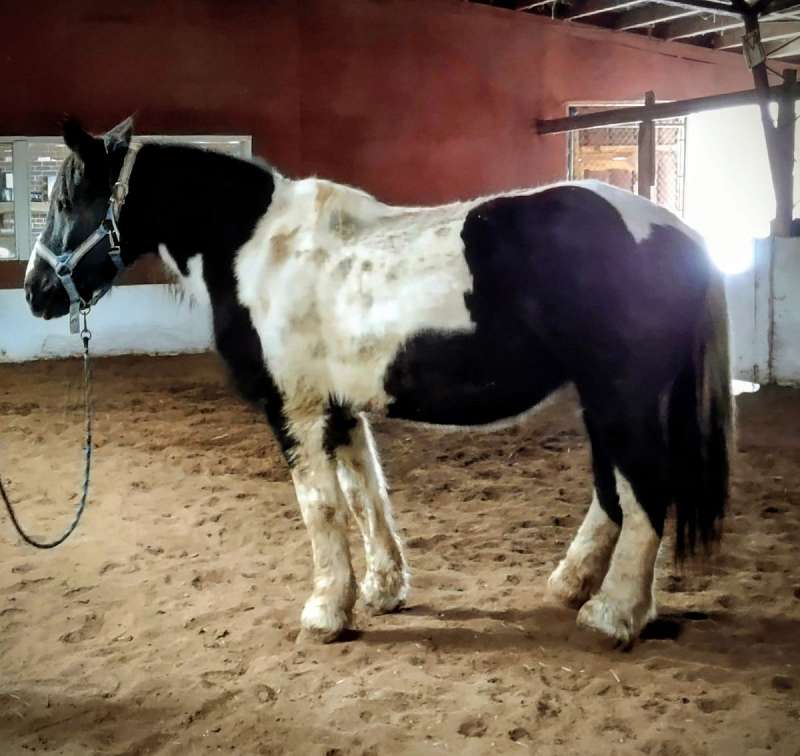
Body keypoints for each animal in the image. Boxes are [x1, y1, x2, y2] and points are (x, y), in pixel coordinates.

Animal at [24, 117, 732, 645]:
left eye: (65, 200)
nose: (34, 293)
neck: (256, 249)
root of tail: (682, 235)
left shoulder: (295, 409)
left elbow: (320, 506)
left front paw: (326, 612)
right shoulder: (340, 407)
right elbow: (367, 494)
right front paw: (383, 589)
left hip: (621, 395)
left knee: (644, 492)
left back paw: (613, 615)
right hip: (600, 397)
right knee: (612, 491)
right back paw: (574, 584)